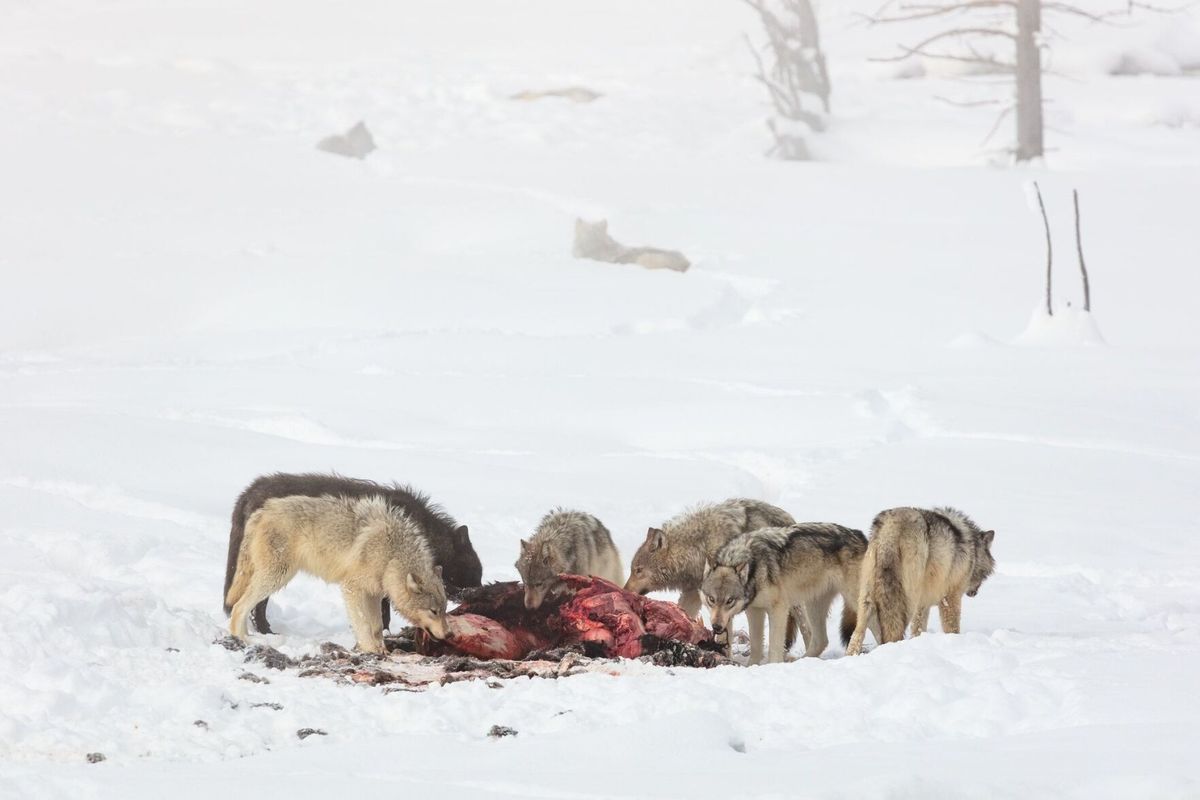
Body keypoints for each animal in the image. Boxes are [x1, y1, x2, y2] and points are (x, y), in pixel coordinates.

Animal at [224, 472, 480, 635]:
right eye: (472, 575)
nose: (476, 593)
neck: (421, 527)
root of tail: (248, 492)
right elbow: (382, 613)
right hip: (277, 569)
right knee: (255, 603)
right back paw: (266, 631)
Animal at [225, 494, 448, 653]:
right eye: (433, 611)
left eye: (444, 610)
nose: (448, 634)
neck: (391, 555)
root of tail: (262, 511)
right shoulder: (352, 588)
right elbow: (363, 624)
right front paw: (370, 649)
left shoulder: (374, 594)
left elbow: (377, 626)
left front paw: (381, 649)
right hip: (277, 577)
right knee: (238, 606)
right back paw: (241, 639)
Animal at [701, 524, 868, 664]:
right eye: (711, 599)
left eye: (730, 601)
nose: (716, 626)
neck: (755, 567)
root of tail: (859, 534)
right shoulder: (755, 610)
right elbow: (756, 645)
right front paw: (751, 666)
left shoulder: (779, 608)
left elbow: (775, 645)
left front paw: (772, 666)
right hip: (813, 606)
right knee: (821, 641)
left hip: (853, 600)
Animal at [845, 507, 996, 656]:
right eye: (984, 575)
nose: (974, 593)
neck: (973, 550)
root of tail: (891, 526)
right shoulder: (949, 597)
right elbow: (952, 627)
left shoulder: (923, 604)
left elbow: (917, 629)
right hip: (907, 600)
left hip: (866, 600)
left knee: (856, 635)